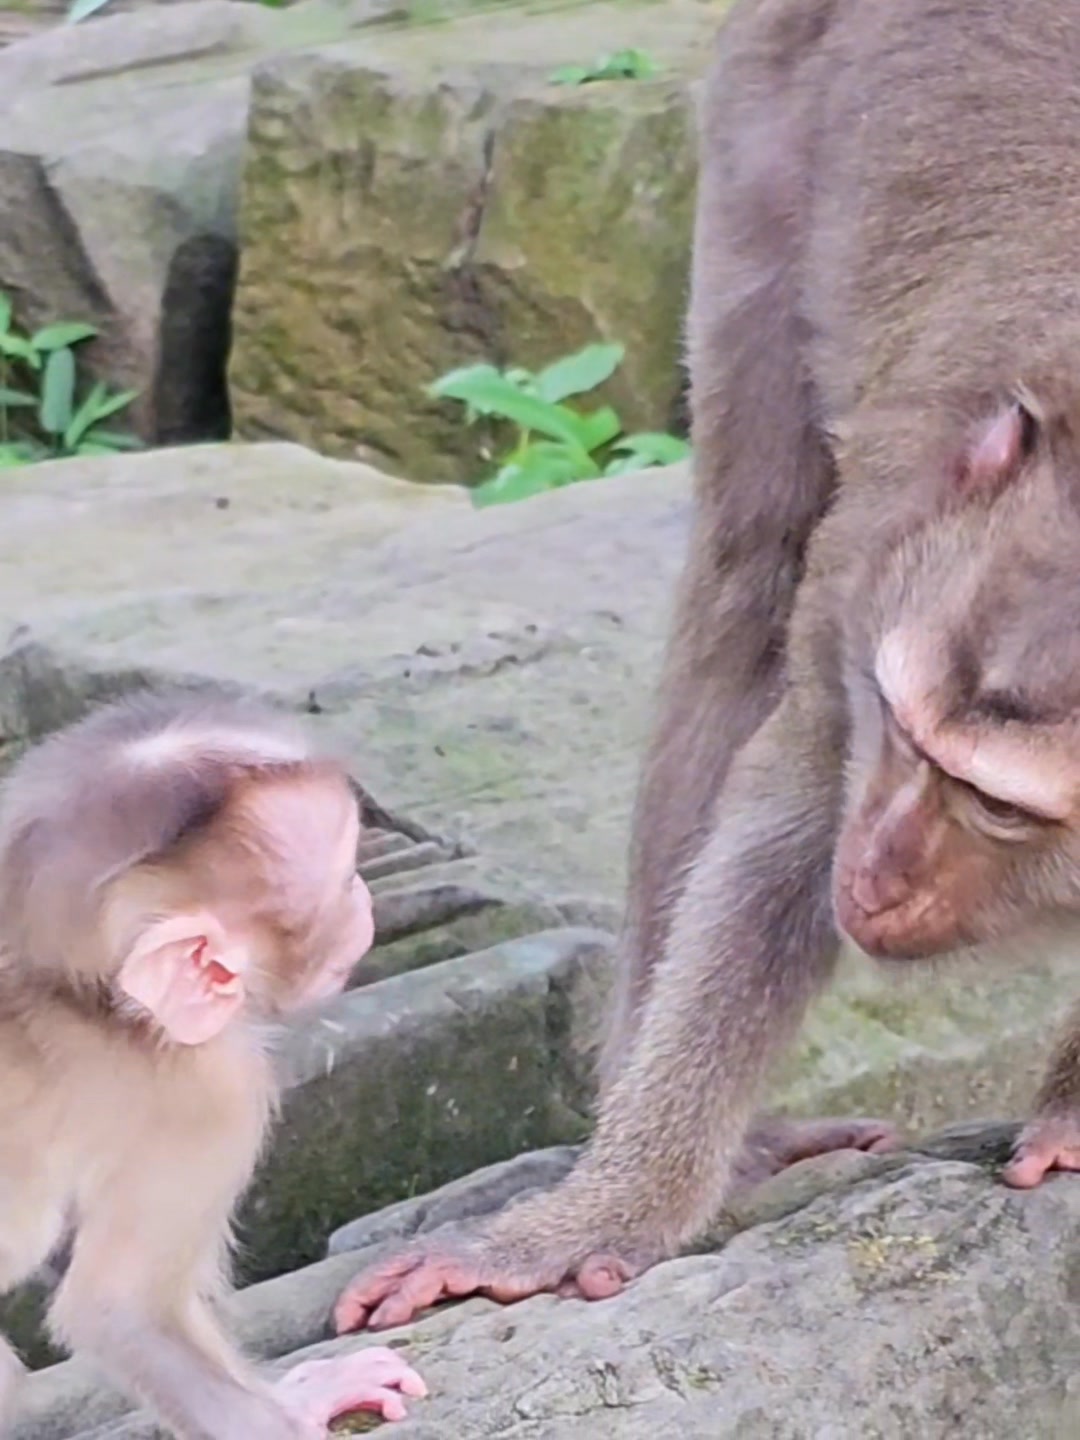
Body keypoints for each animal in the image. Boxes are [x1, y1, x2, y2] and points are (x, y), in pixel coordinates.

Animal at [0, 692, 426, 1437]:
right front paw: (301, 1411)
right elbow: (122, 1314)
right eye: (346, 880)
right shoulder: (209, 1101)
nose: (365, 903)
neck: (96, 1005)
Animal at [332, 0, 1080, 1334]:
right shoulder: (878, 573)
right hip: (766, 100)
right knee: (744, 581)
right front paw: (606, 1211)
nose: (874, 877)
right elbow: (785, 821)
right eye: (905, 732)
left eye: (998, 803)